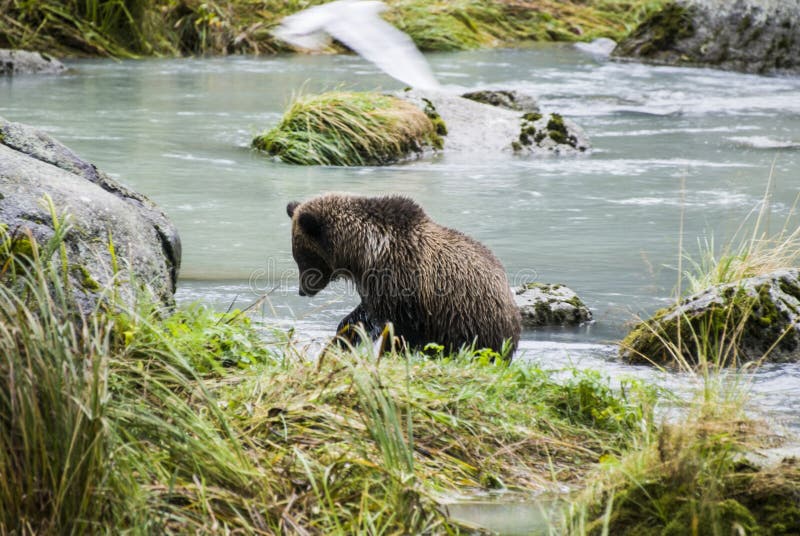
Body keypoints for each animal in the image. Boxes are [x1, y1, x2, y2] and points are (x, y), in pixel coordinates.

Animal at [286, 193, 521, 357]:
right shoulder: (374, 287)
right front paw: (341, 340)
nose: (302, 290)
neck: (364, 251)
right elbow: (361, 318)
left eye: (302, 257)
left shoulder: (405, 287)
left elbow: (398, 332)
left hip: (471, 319)